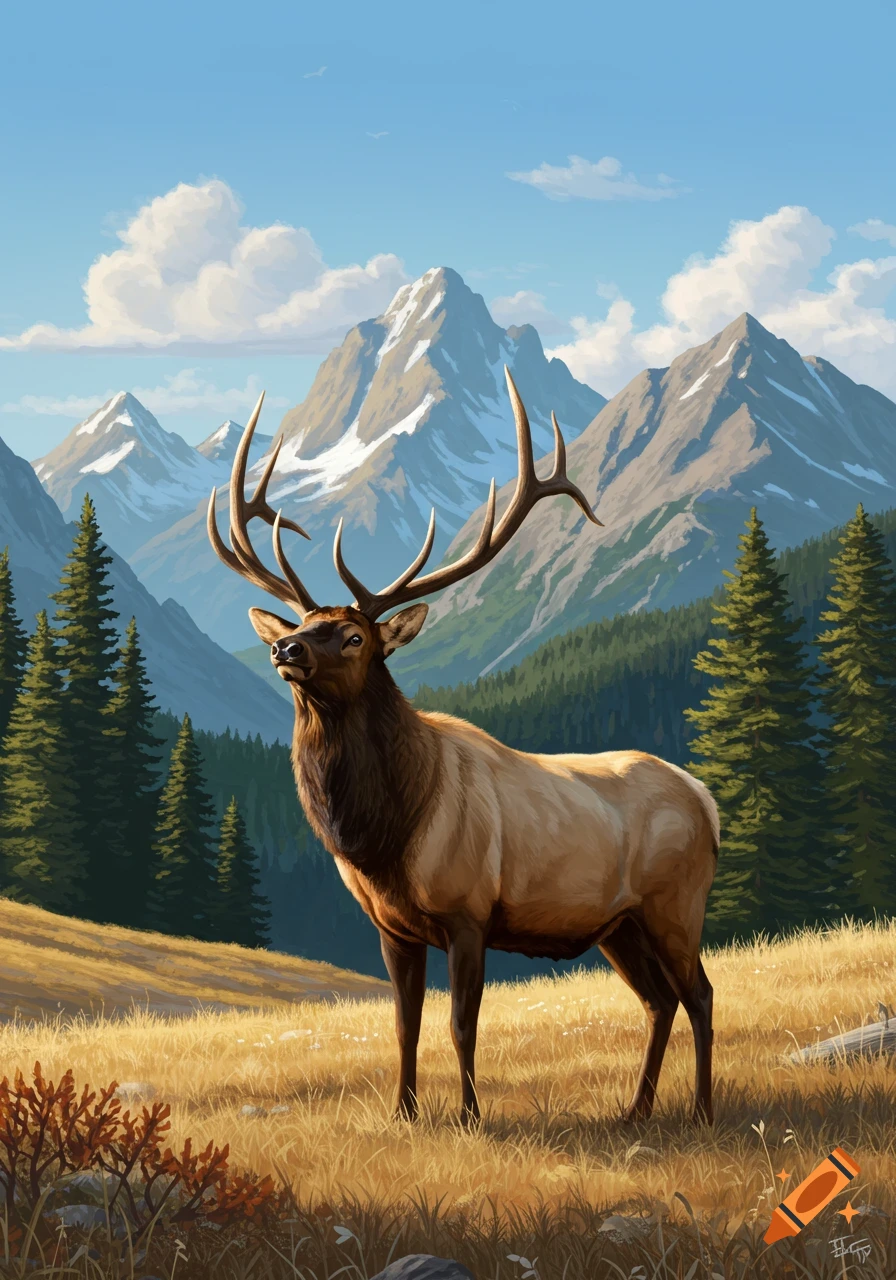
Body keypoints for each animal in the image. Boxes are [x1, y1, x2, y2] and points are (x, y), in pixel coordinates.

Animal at [207, 369, 719, 1128]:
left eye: (354, 636)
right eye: (301, 623)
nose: (285, 649)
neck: (385, 837)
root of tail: (706, 801)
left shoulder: (469, 911)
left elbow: (461, 1024)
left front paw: (472, 1116)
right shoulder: (392, 927)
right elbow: (404, 1024)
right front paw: (403, 1113)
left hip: (675, 902)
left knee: (700, 994)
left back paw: (704, 1110)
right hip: (620, 923)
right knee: (659, 1001)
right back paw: (637, 1110)